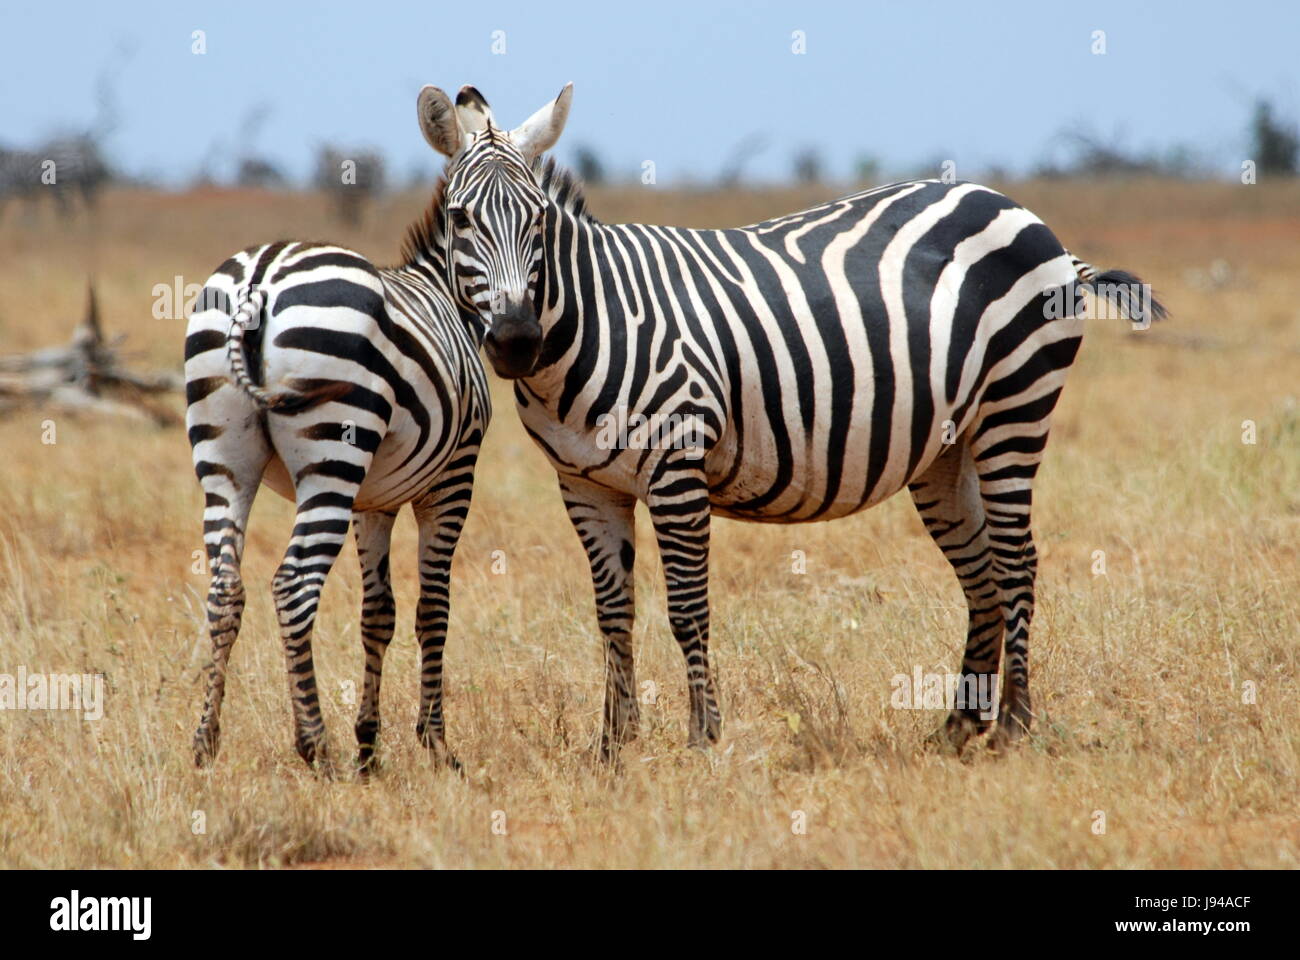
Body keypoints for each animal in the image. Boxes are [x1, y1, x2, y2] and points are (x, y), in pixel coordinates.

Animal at [184, 190, 489, 774]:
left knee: (225, 589)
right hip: (333, 455)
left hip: (224, 458)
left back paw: (205, 741)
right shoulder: (451, 480)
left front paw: (369, 748)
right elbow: (433, 608)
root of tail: (261, 275)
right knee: (294, 586)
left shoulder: (373, 502)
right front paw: (436, 745)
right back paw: (315, 745)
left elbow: (378, 614)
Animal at [414, 83, 1165, 759]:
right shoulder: (585, 483)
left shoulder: (678, 465)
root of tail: (1019, 210)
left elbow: (687, 607)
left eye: (537, 221)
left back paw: (1013, 726)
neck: (595, 317)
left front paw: (702, 741)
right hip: (947, 447)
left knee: (1016, 562)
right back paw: (960, 728)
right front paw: (614, 747)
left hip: (1016, 408)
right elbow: (613, 613)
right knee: (981, 568)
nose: (516, 340)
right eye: (460, 219)